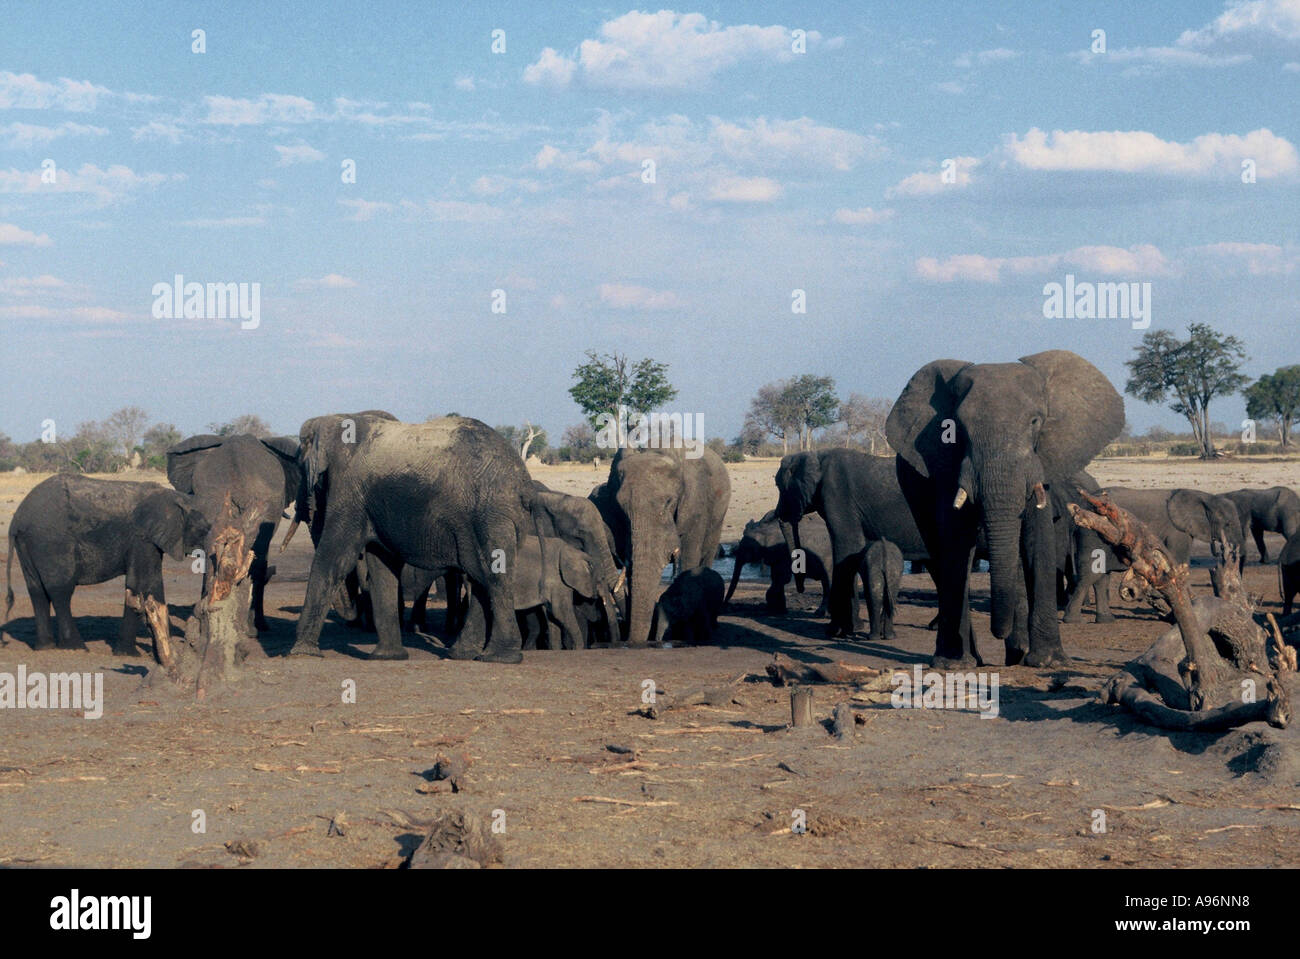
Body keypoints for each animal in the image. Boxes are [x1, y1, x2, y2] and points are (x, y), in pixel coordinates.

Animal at [4, 475, 209, 656]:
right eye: (204, 530)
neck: (172, 496)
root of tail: (16, 521)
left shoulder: (151, 542)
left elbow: (154, 584)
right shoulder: (141, 538)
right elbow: (139, 584)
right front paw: (128, 654)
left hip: (28, 544)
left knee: (37, 591)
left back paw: (44, 647)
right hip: (51, 543)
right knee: (61, 592)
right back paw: (77, 648)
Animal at [288, 416, 535, 663]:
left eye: (301, 468)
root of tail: (522, 481)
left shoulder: (349, 492)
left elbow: (334, 558)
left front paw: (302, 653)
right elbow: (382, 568)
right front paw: (387, 657)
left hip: (489, 515)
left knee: (492, 575)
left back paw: (499, 657)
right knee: (480, 579)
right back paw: (462, 654)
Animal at [592, 446, 730, 646]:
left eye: (668, 502)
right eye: (620, 507)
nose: (632, 643)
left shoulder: (696, 503)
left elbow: (689, 557)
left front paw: (681, 633)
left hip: (718, 519)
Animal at [774, 448, 929, 638]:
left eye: (778, 486)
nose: (800, 588)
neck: (816, 455)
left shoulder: (837, 496)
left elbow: (846, 549)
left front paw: (837, 630)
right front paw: (853, 628)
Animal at [885, 350, 1125, 668]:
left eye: (1035, 421)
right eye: (957, 428)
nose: (998, 633)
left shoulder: (1042, 462)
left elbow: (1038, 538)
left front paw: (1048, 662)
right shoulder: (945, 467)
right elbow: (955, 543)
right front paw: (952, 664)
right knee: (939, 553)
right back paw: (974, 658)